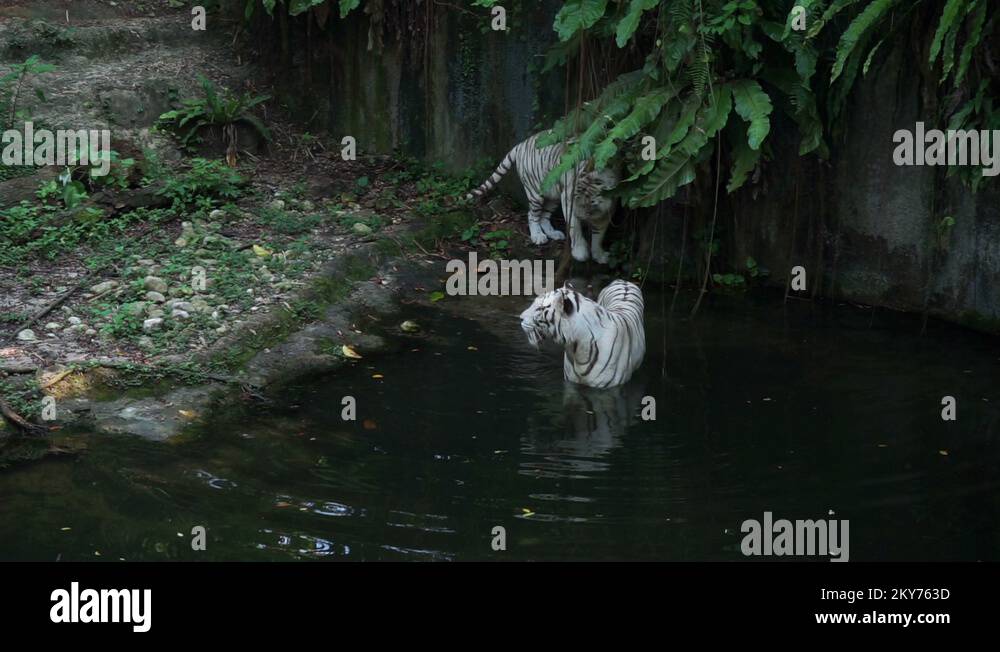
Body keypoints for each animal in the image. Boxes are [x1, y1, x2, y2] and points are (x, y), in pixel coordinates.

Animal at [466, 132, 619, 263]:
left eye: (590, 202)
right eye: (577, 199)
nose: (581, 215)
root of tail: (522, 143)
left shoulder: (607, 213)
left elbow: (599, 236)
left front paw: (599, 255)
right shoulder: (567, 198)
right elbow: (575, 229)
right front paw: (580, 253)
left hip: (553, 195)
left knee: (544, 216)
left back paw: (553, 233)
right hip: (535, 193)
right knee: (532, 215)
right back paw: (537, 236)